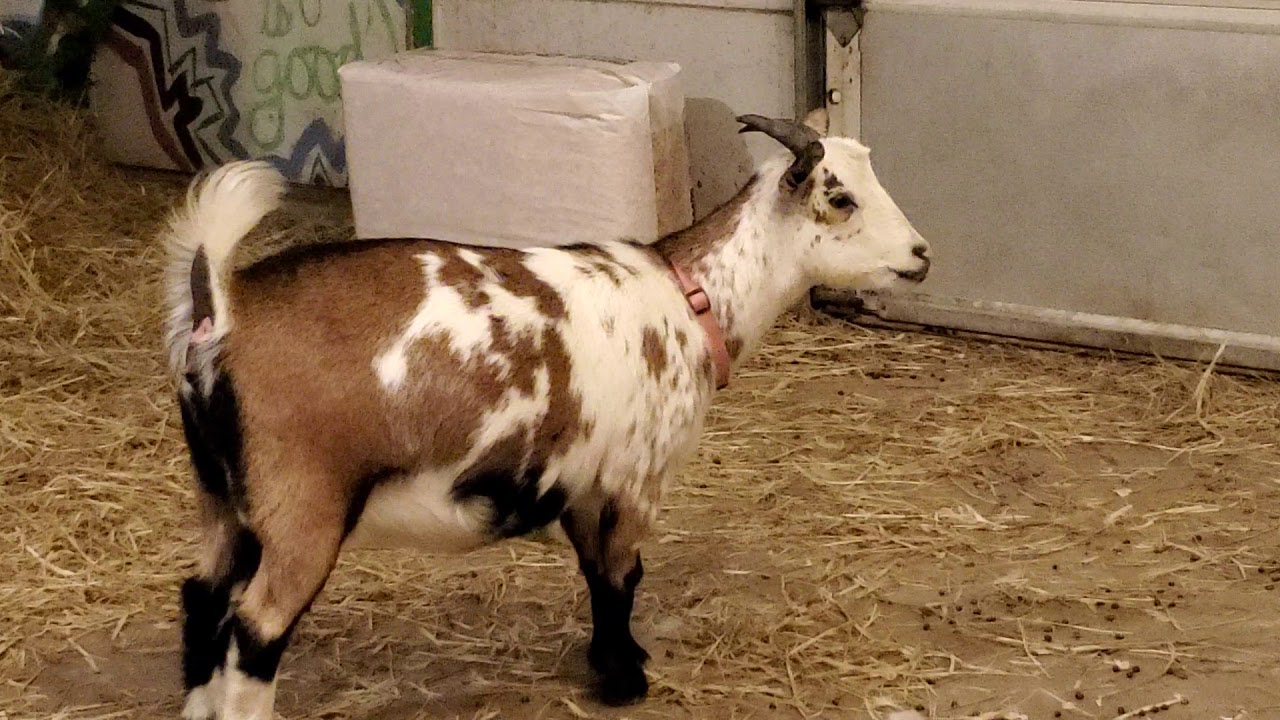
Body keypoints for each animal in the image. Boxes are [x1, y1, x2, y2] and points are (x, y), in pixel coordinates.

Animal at [161, 114, 932, 720]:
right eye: (840, 196)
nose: (921, 254)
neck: (691, 299)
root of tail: (220, 315)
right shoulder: (634, 477)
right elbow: (622, 578)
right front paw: (625, 681)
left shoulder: (582, 480)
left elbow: (597, 575)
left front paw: (615, 664)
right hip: (303, 507)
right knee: (255, 627)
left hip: (223, 500)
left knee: (202, 597)